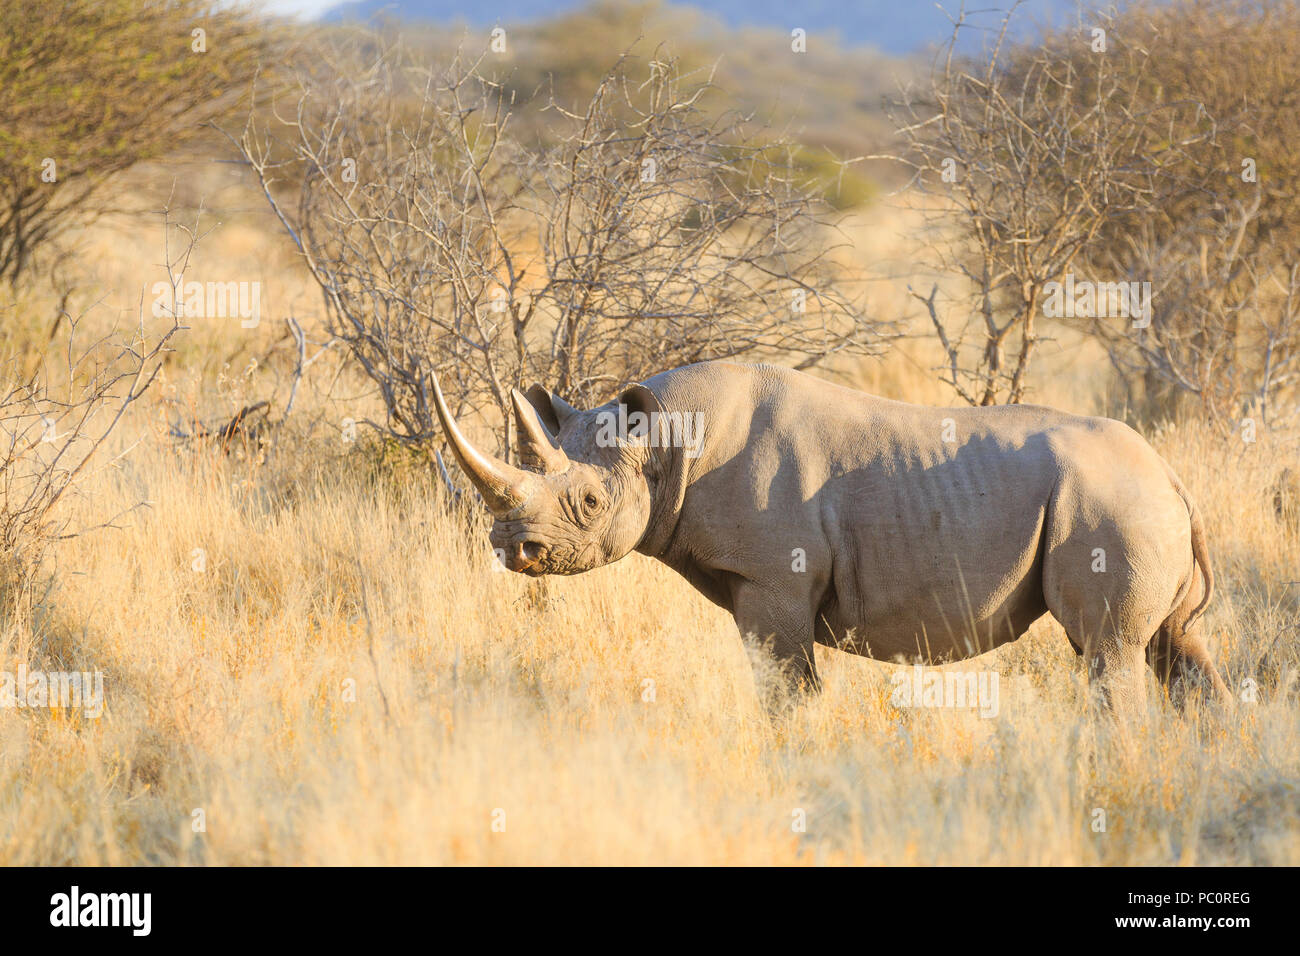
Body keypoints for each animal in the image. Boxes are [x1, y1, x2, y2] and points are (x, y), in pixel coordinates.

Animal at [432, 360, 1231, 715]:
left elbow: (786, 688)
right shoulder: (754, 579)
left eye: (591, 501)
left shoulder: (770, 579)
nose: (514, 549)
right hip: (1132, 504)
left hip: (1110, 504)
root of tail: (1171, 477)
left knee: (1109, 652)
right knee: (1174, 647)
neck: (665, 446)